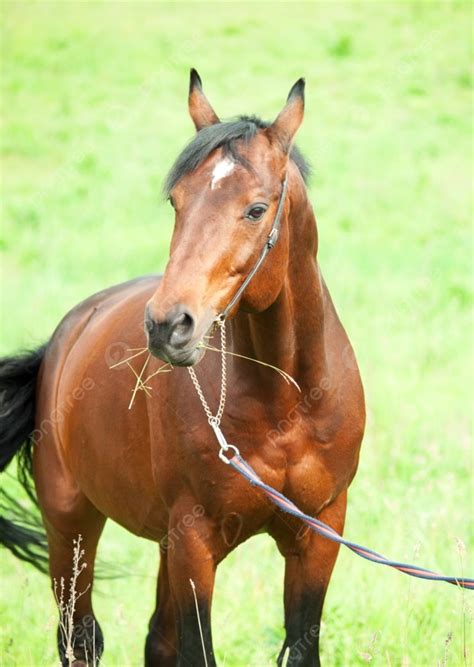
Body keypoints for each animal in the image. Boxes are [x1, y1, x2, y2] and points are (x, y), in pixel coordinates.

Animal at [0, 70, 365, 666]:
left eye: (256, 209)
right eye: (177, 201)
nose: (168, 324)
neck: (285, 404)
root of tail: (64, 337)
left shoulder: (319, 535)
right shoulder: (196, 543)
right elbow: (198, 650)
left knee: (156, 639)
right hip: (71, 526)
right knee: (80, 638)